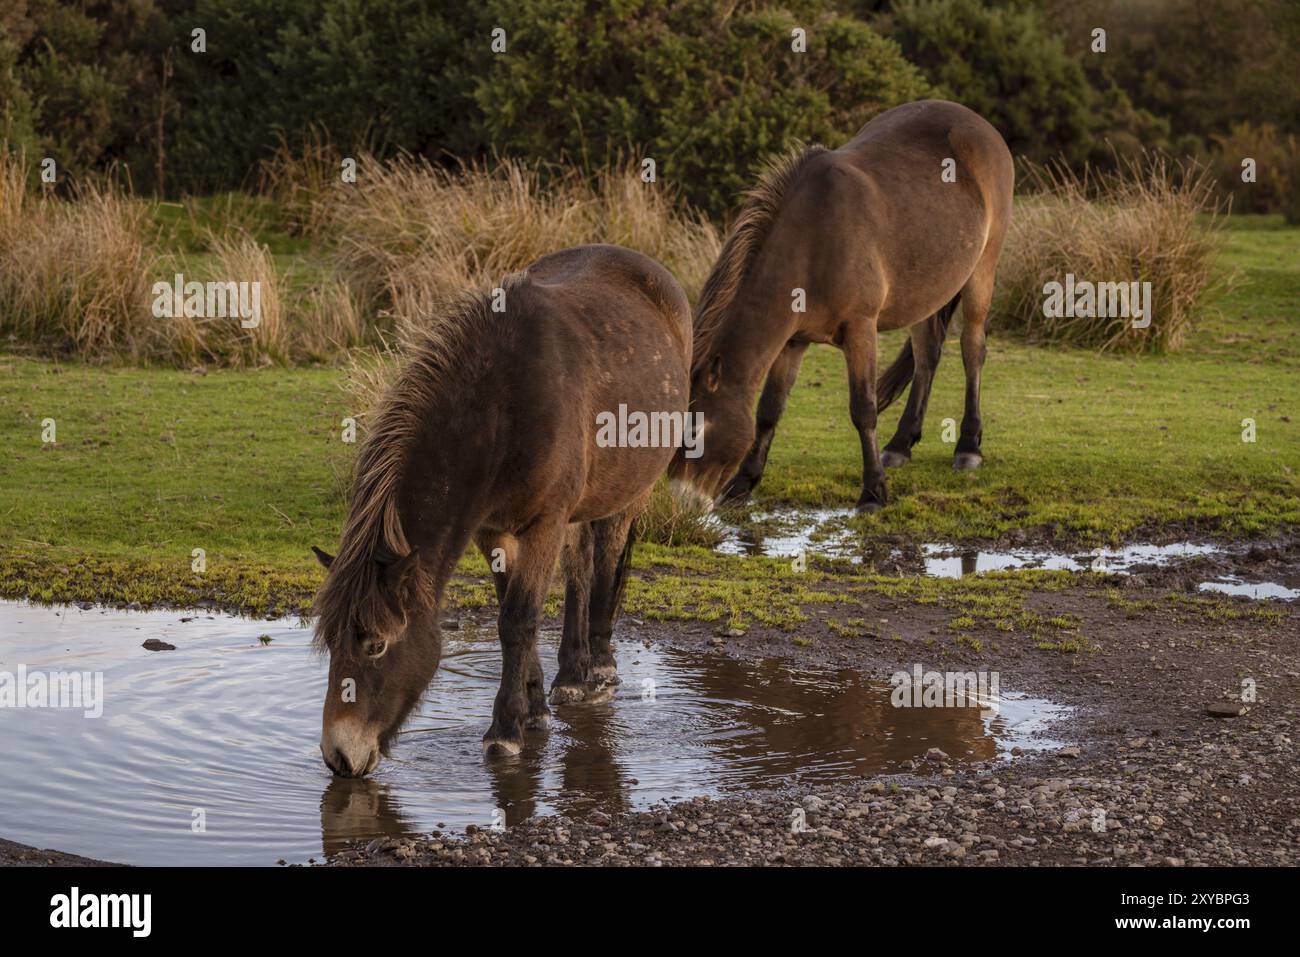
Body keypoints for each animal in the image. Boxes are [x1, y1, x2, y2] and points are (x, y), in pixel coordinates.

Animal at [311, 244, 692, 777]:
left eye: (376, 645)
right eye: (331, 643)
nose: (339, 757)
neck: (504, 406)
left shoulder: (544, 523)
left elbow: (518, 620)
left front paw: (506, 731)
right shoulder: (492, 530)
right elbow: (510, 614)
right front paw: (534, 708)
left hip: (627, 496)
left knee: (604, 564)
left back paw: (599, 670)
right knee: (579, 569)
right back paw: (571, 674)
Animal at [668, 99, 1014, 513]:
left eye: (695, 432)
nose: (680, 504)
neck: (813, 242)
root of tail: (981, 125)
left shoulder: (861, 328)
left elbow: (863, 410)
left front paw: (873, 493)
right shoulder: (792, 341)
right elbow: (769, 410)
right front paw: (743, 483)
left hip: (982, 273)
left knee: (972, 351)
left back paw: (968, 447)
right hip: (929, 291)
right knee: (927, 356)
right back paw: (900, 444)